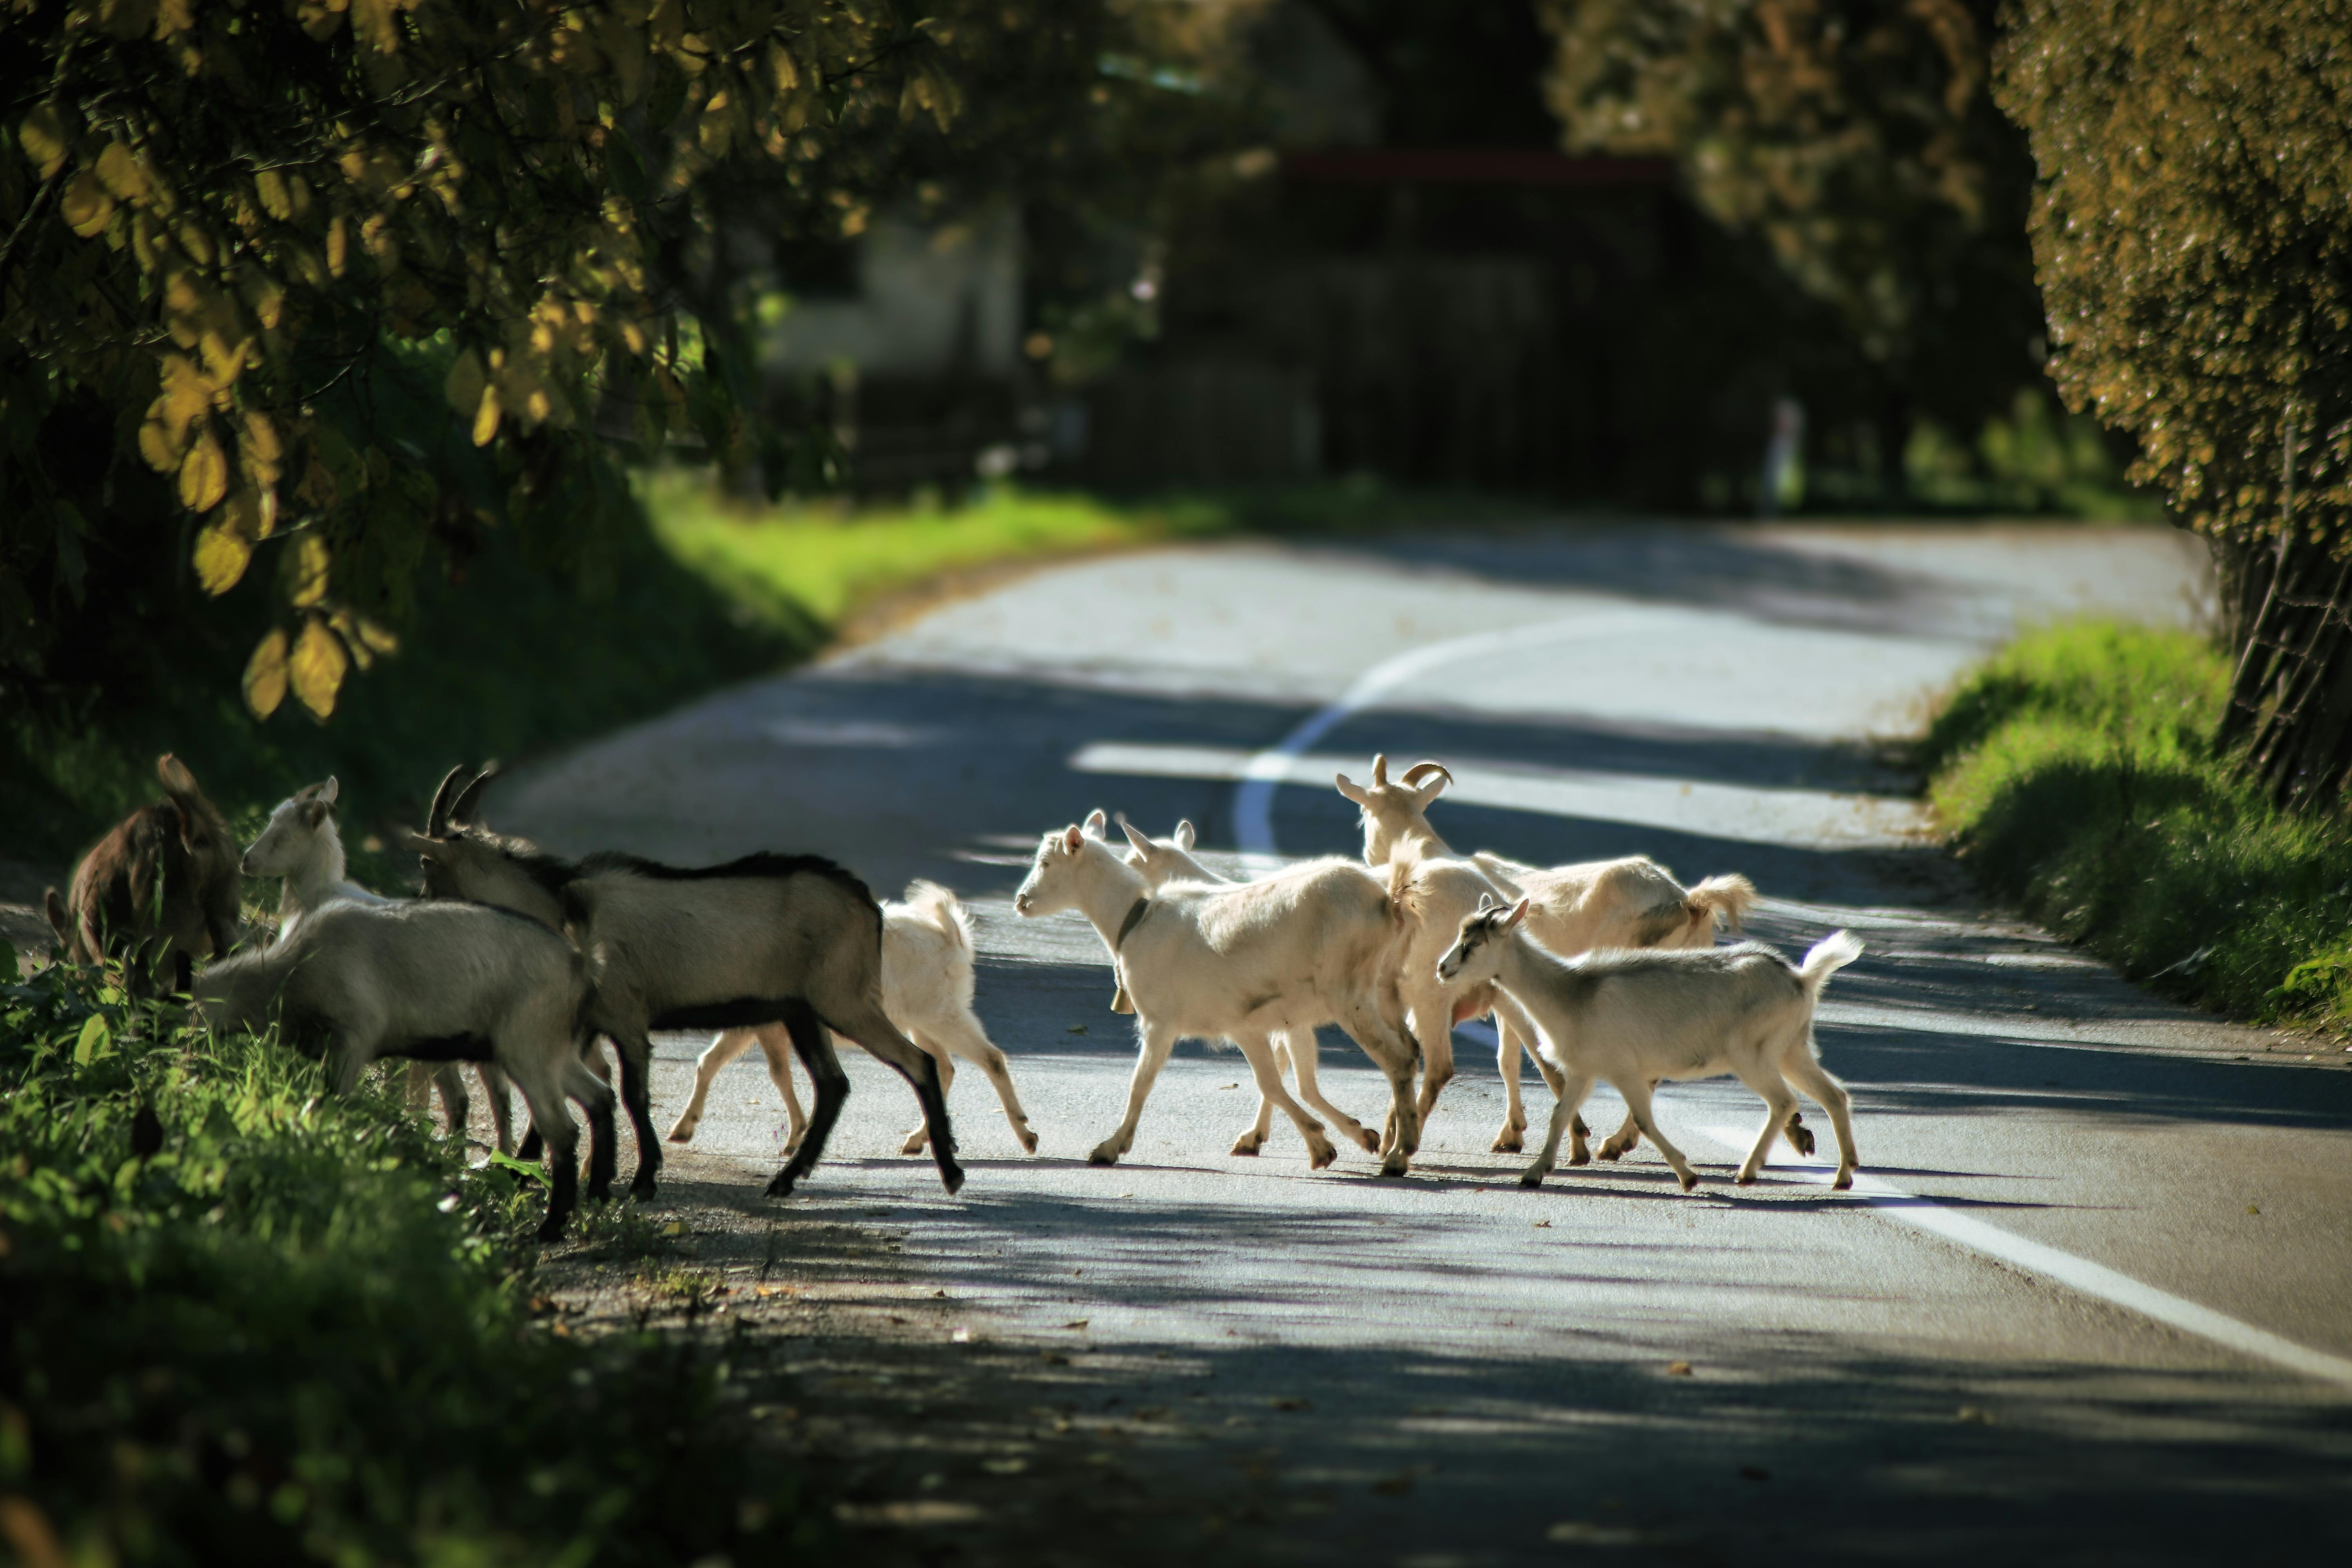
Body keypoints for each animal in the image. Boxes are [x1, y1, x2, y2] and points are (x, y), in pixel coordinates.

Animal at [193, 899, 616, 1239]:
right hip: (556, 1055)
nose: (187, 1063)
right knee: (601, 1097)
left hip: (527, 1051)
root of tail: (582, 966)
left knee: (562, 1130)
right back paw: (598, 1192)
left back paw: (551, 1228)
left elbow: (332, 1106)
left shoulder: (353, 1040)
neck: (289, 974)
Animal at [242, 776, 516, 1156]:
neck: (318, 893)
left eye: (282, 834)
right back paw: (500, 1160)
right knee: (500, 1095)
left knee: (461, 1097)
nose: (246, 860)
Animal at [407, 765, 960, 1201]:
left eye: (425, 862)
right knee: (833, 1083)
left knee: (919, 1062)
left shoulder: (627, 1016)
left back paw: (951, 1171)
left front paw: (641, 1180)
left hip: (845, 999)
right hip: (803, 1010)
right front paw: (530, 1173)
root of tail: (867, 904)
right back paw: (786, 1178)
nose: (420, 910)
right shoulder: (587, 1025)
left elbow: (632, 1094)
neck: (565, 911)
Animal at [666, 880, 1036, 1157]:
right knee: (941, 1067)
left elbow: (769, 1073)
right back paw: (919, 1141)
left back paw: (1027, 1135)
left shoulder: (760, 1027)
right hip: (920, 1023)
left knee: (990, 1058)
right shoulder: (759, 1029)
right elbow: (725, 1065)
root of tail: (950, 934)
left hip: (943, 1015)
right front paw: (682, 1131)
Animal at [1437, 894, 1863, 1190]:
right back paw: (1844, 1175)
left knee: (1784, 1101)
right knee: (1834, 1095)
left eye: (1474, 944)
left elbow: (1643, 1119)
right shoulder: (1584, 1071)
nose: (1442, 968)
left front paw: (1688, 1175)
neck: (1572, 993)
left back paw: (1747, 1171)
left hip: (1752, 1055)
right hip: (1792, 1049)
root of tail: (1801, 979)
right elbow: (1560, 1114)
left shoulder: (1623, 1069)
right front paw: (1533, 1173)